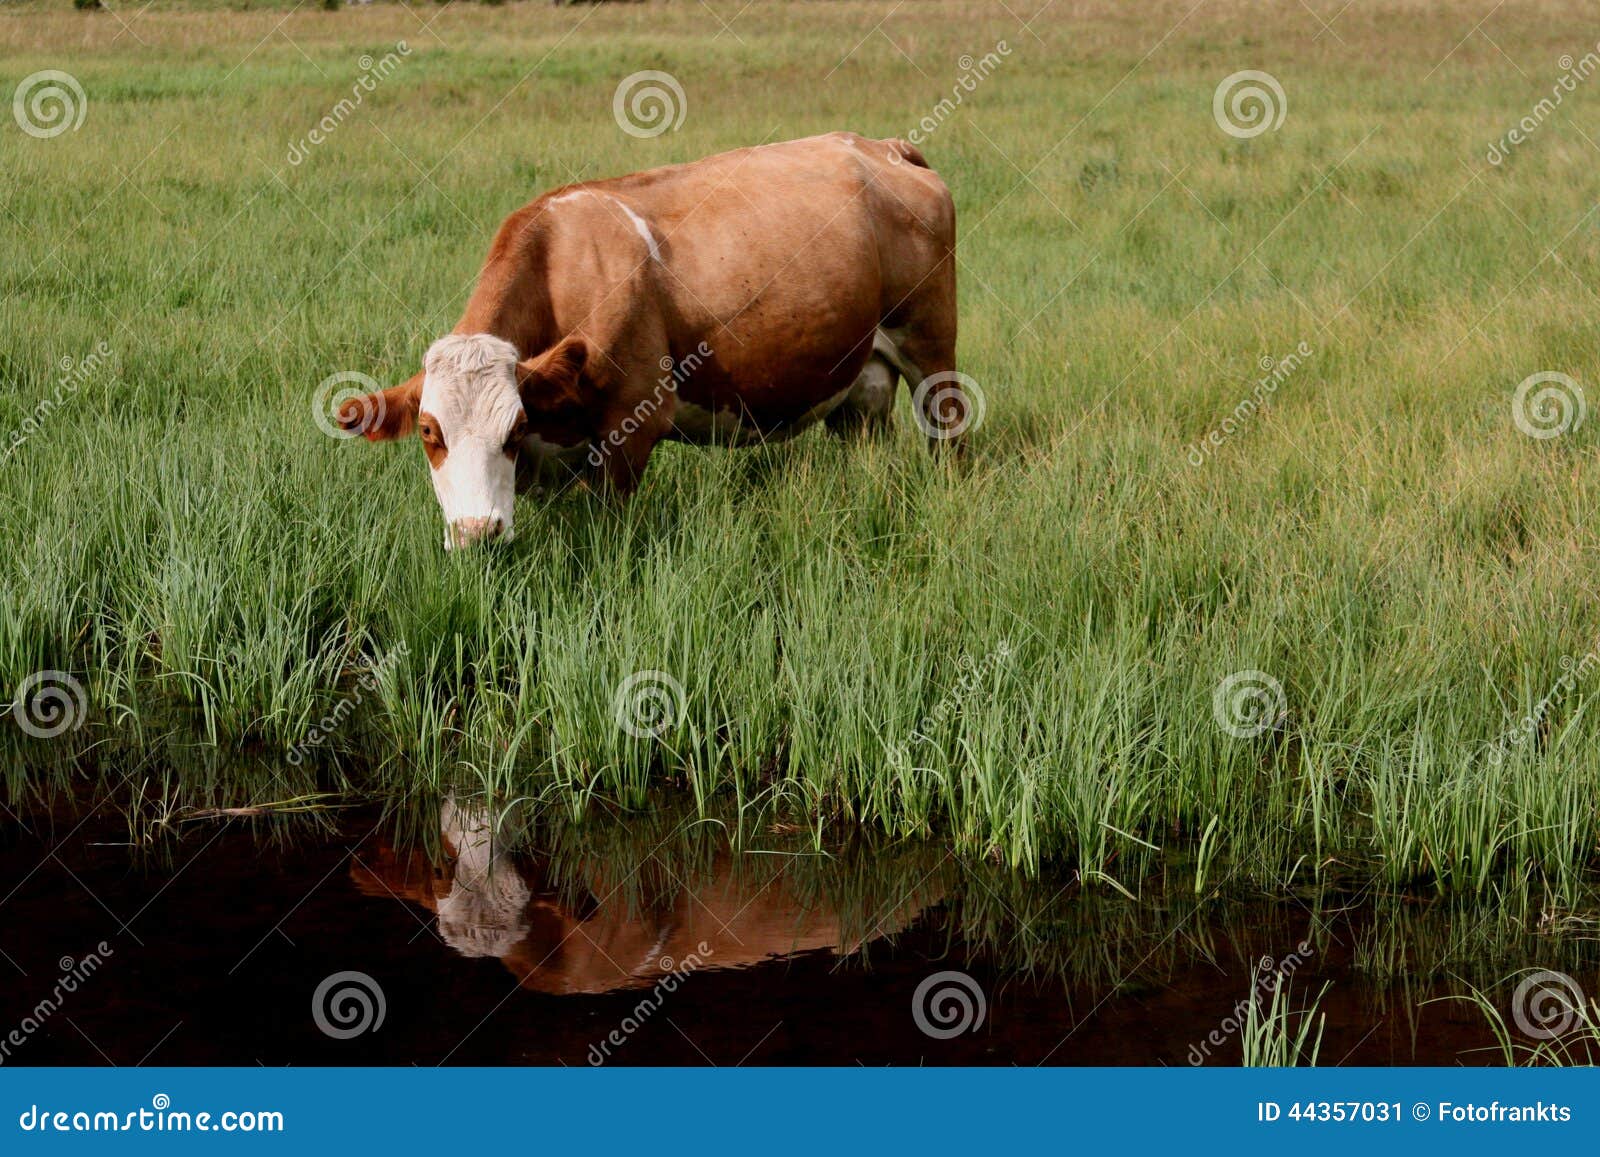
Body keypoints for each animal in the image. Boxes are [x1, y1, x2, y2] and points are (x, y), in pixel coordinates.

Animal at [336, 131, 960, 548]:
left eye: (513, 429)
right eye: (428, 432)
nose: (476, 533)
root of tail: (879, 145)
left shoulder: (631, 428)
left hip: (931, 349)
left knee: (948, 431)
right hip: (861, 384)